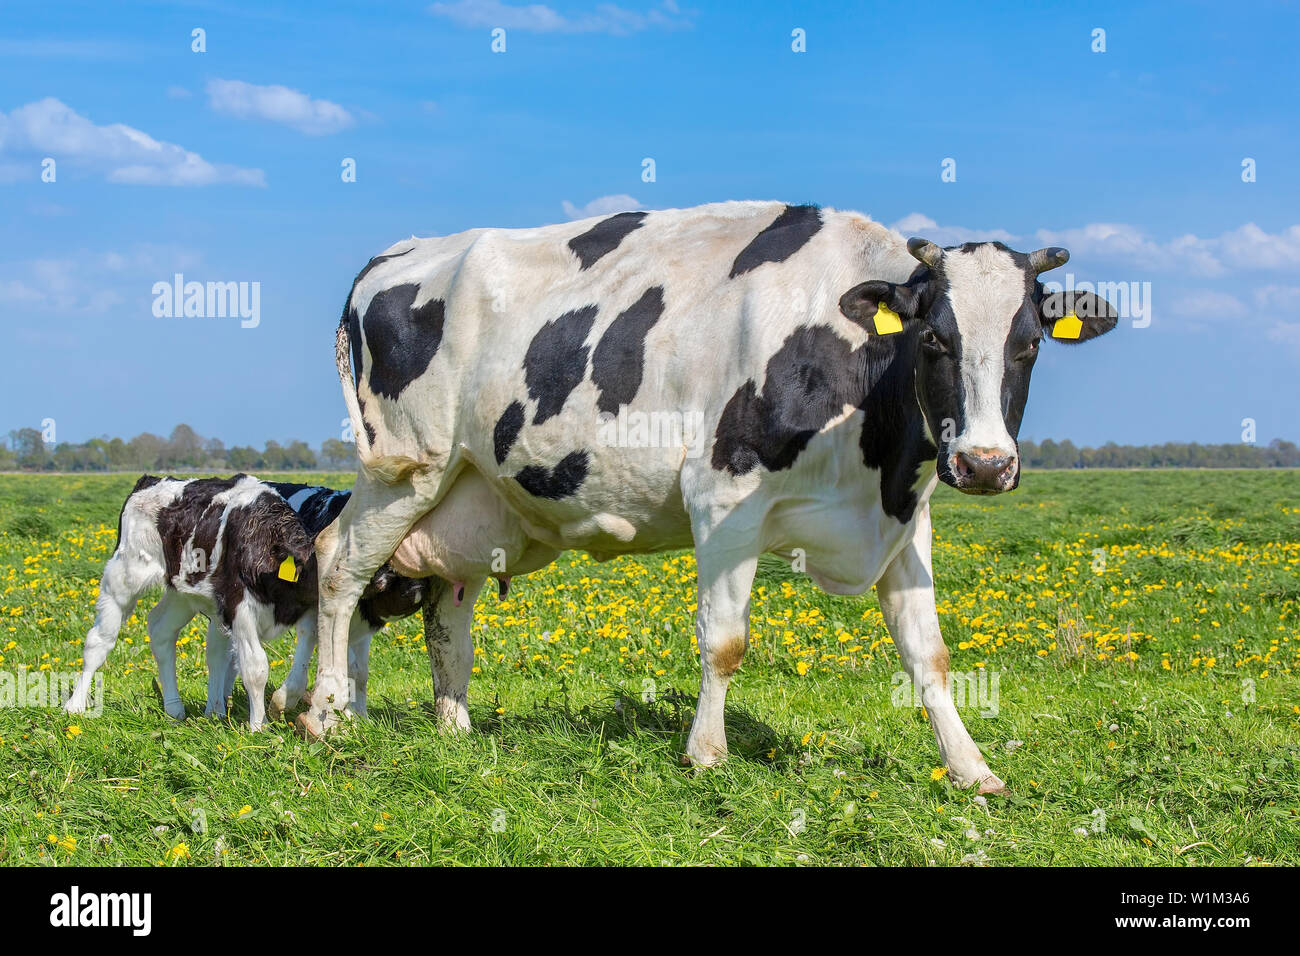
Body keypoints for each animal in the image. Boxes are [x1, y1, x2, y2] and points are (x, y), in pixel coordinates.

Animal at [64, 475, 429, 729]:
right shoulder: (239, 607)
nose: (412, 590)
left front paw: (353, 717)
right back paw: (76, 705)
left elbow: (347, 668)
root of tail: (151, 480)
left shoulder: (311, 612)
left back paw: (179, 708)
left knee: (164, 631)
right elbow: (255, 668)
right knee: (100, 640)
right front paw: (258, 726)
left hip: (182, 593)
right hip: (123, 575)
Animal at [303, 200, 1116, 792]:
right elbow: (724, 641)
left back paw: (455, 727)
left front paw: (971, 768)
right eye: (936, 340)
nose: (983, 463)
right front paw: (705, 754)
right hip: (404, 466)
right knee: (338, 566)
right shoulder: (725, 498)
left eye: (1029, 344)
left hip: (473, 494)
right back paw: (326, 715)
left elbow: (930, 656)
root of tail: (399, 252)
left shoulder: (902, 520)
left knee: (447, 612)